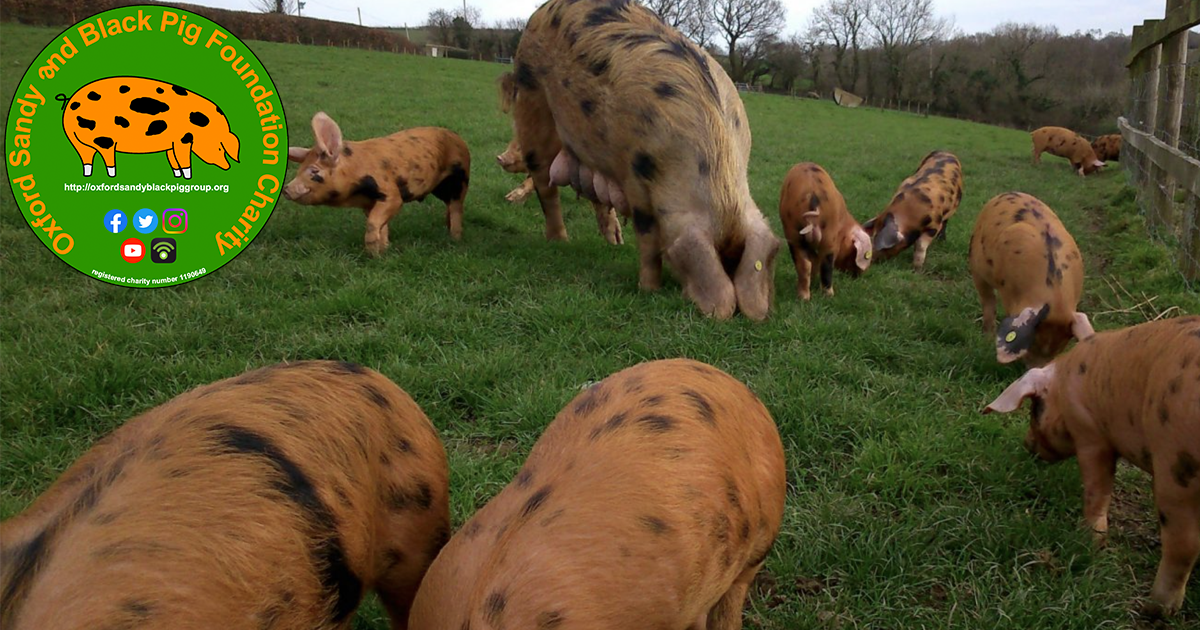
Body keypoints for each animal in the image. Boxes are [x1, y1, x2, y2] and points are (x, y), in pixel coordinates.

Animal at [59, 76, 239, 179]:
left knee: (87, 159)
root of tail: (71, 101)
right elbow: (183, 160)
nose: (228, 167)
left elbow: (173, 159)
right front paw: (187, 177)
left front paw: (178, 176)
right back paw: (112, 175)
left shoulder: (172, 143)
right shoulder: (182, 140)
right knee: (106, 157)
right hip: (104, 140)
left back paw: (88, 175)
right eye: (220, 149)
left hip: (76, 141)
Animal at [285, 112, 470, 257]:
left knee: (456, 207)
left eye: (314, 171)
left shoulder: (390, 193)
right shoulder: (368, 203)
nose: (286, 189)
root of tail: (458, 138)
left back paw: (455, 239)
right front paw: (384, 251)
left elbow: (374, 222)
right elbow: (380, 225)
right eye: (299, 170)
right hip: (441, 188)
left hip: (459, 179)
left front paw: (373, 254)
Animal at [500, 0, 780, 320]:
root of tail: (542, 11)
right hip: (532, 103)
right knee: (545, 185)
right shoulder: (634, 175)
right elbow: (648, 237)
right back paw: (560, 242)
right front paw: (648, 289)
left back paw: (614, 242)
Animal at [778, 162, 872, 300]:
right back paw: (828, 295)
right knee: (826, 264)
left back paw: (804, 297)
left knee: (806, 264)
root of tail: (813, 198)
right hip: (828, 235)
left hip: (794, 232)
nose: (857, 276)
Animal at [983, 316, 1200, 617]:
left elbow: (1097, 490)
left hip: (1177, 469)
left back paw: (1153, 609)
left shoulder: (1089, 433)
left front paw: (1090, 541)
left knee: (1184, 545)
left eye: (1035, 409)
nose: (1027, 445)